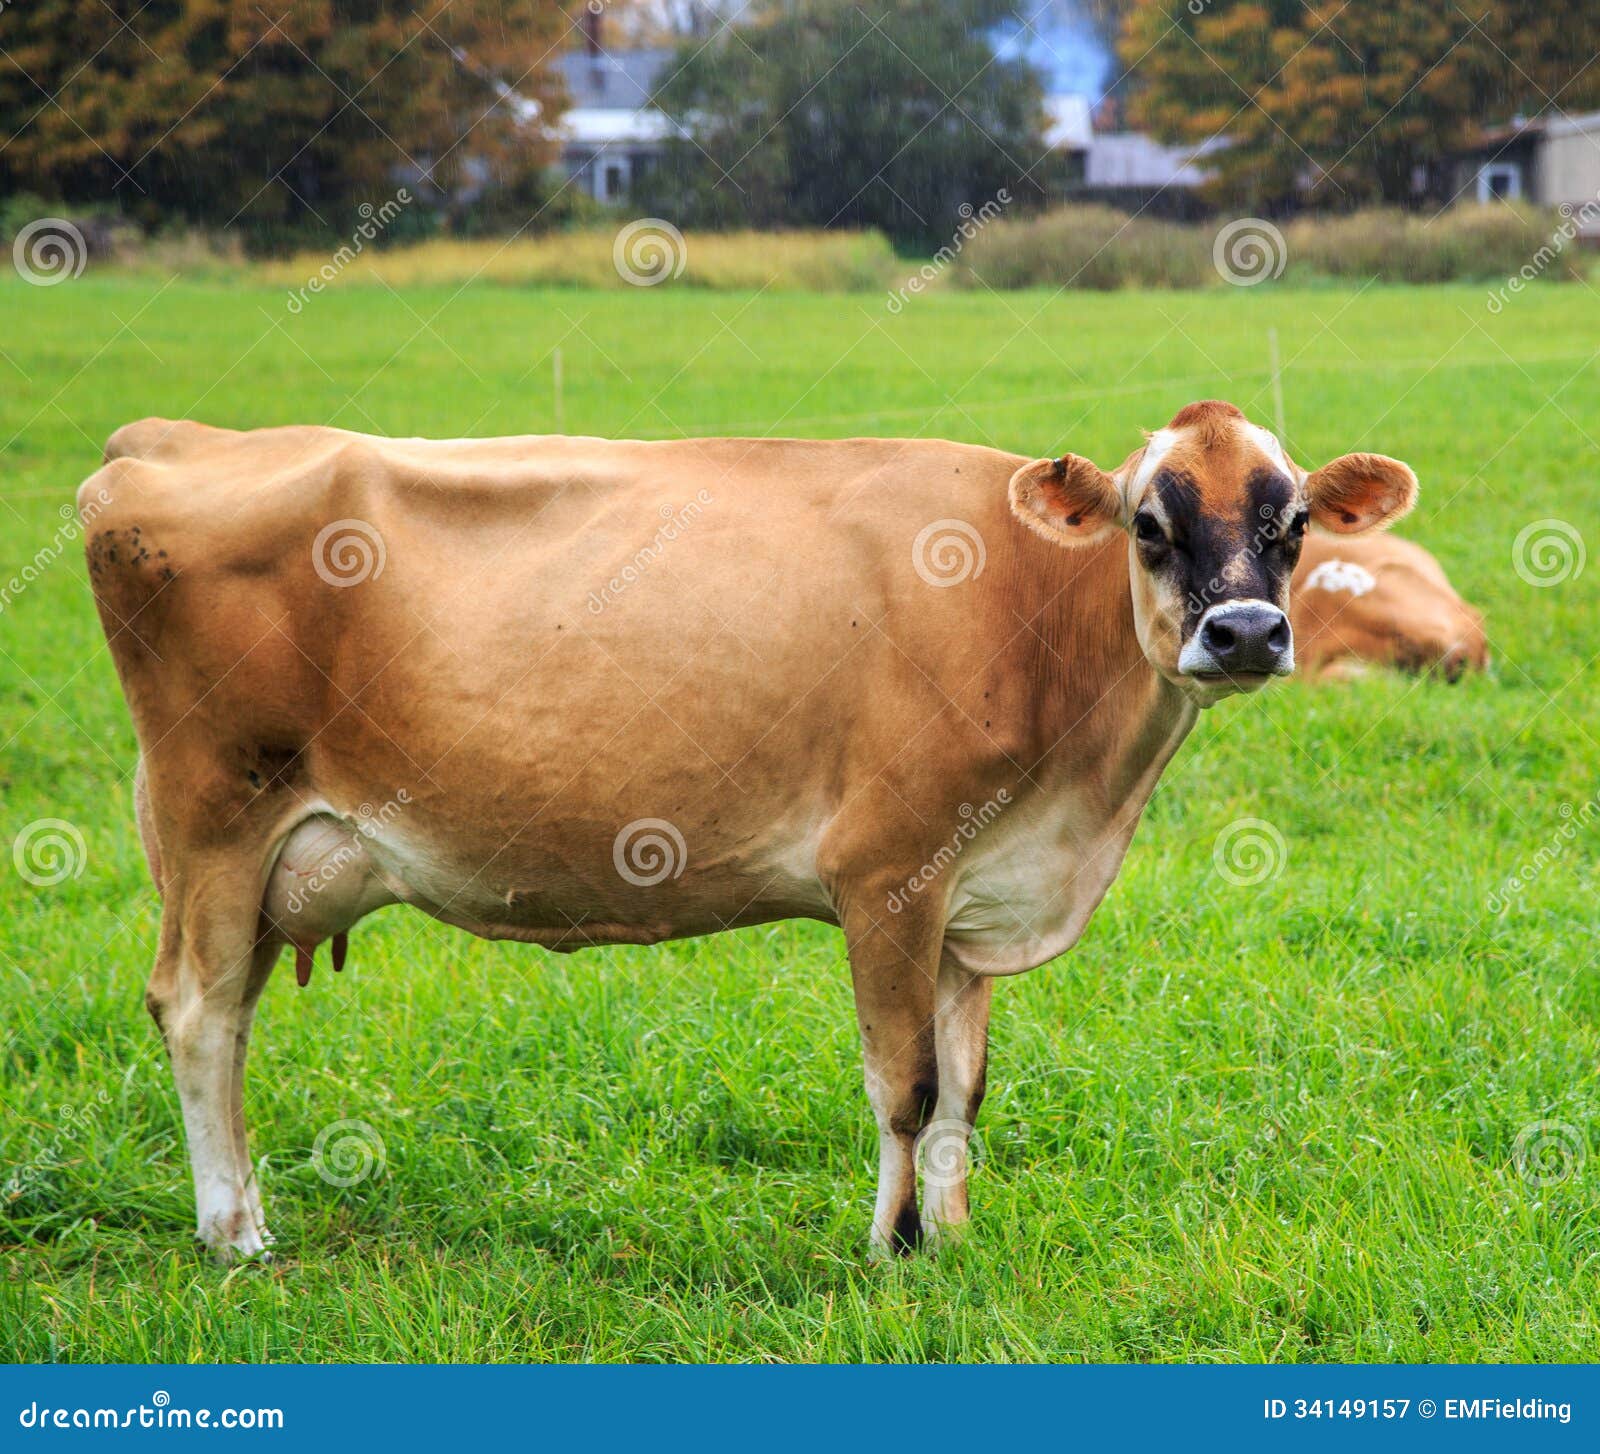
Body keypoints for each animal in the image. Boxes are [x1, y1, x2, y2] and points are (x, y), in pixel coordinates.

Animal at [80, 400, 1417, 1261]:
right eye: (1148, 521)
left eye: (1295, 522)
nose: (1244, 632)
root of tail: (165, 444)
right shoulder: (887, 872)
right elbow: (903, 1082)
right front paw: (892, 1249)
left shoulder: (972, 894)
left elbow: (965, 1089)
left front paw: (955, 1238)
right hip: (215, 815)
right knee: (199, 1010)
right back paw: (237, 1234)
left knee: (226, 1012)